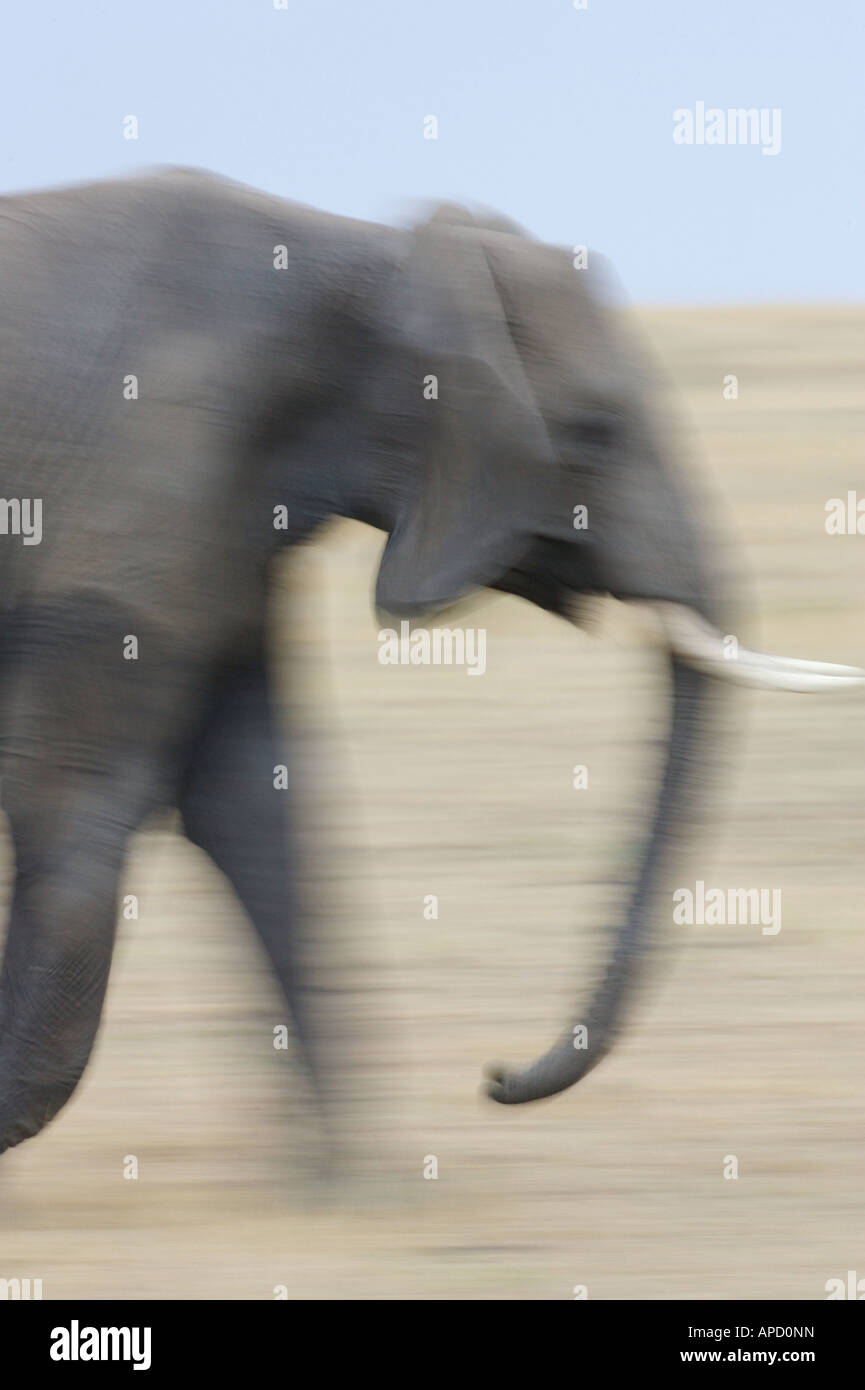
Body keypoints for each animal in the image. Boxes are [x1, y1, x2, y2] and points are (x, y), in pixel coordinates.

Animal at [0, 167, 860, 1156]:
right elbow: (78, 797)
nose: (491, 1076)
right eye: (594, 430)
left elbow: (251, 801)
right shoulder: (134, 489)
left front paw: (345, 1187)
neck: (368, 259)